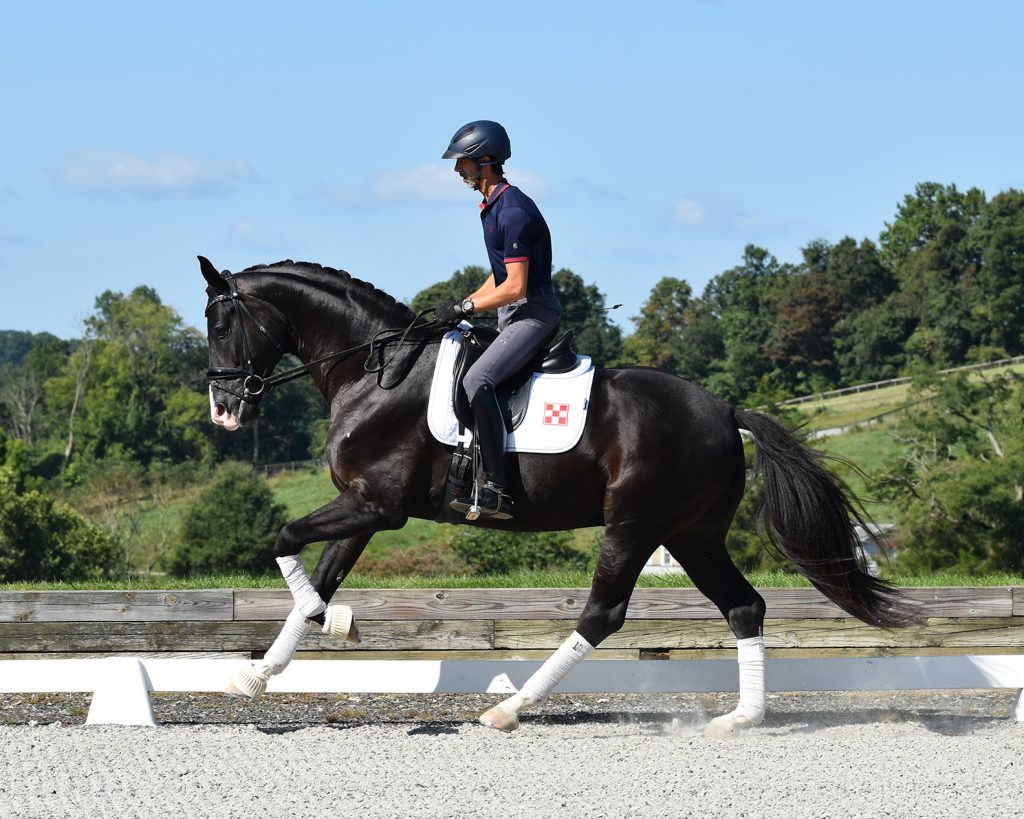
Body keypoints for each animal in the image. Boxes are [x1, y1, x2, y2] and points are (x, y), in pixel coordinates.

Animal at [199, 256, 919, 736]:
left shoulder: (378, 505)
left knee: (602, 614)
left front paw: (326, 623)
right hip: (691, 535)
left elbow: (286, 540)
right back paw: (741, 718)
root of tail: (723, 408)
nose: (224, 409)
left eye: (220, 323)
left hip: (635, 524)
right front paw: (260, 670)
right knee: (744, 606)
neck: (377, 370)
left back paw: (509, 708)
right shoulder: (365, 506)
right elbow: (319, 574)